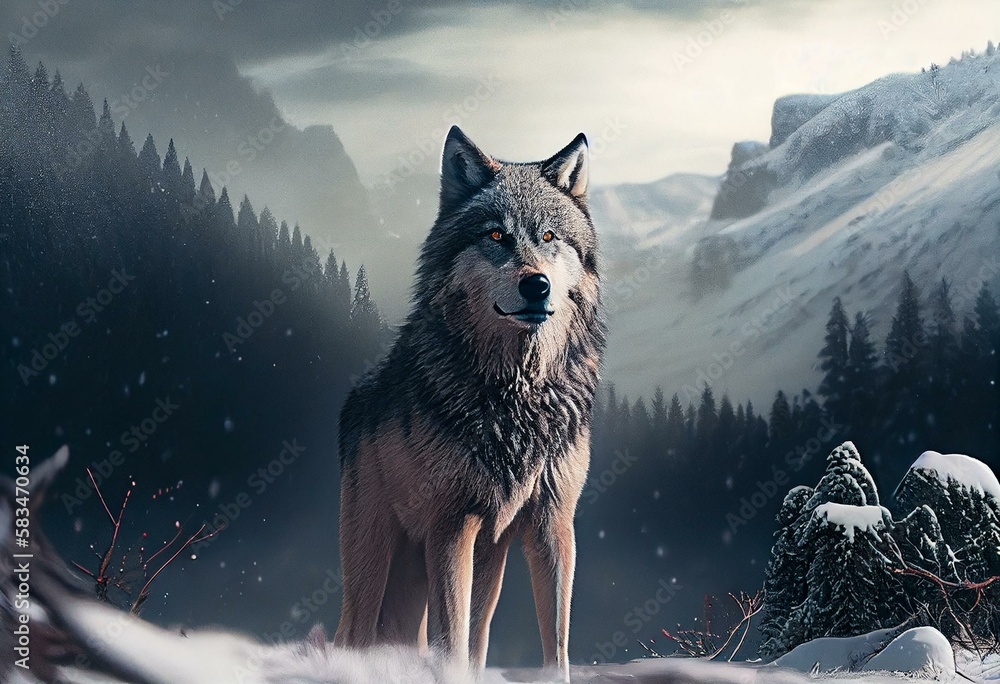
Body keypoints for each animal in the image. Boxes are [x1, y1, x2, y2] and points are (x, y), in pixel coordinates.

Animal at [334, 126, 607, 682]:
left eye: (550, 238)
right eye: (496, 236)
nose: (536, 284)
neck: (517, 397)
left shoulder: (553, 526)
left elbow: (556, 645)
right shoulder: (452, 525)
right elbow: (452, 646)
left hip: (486, 558)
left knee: (474, 638)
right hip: (375, 557)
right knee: (355, 634)